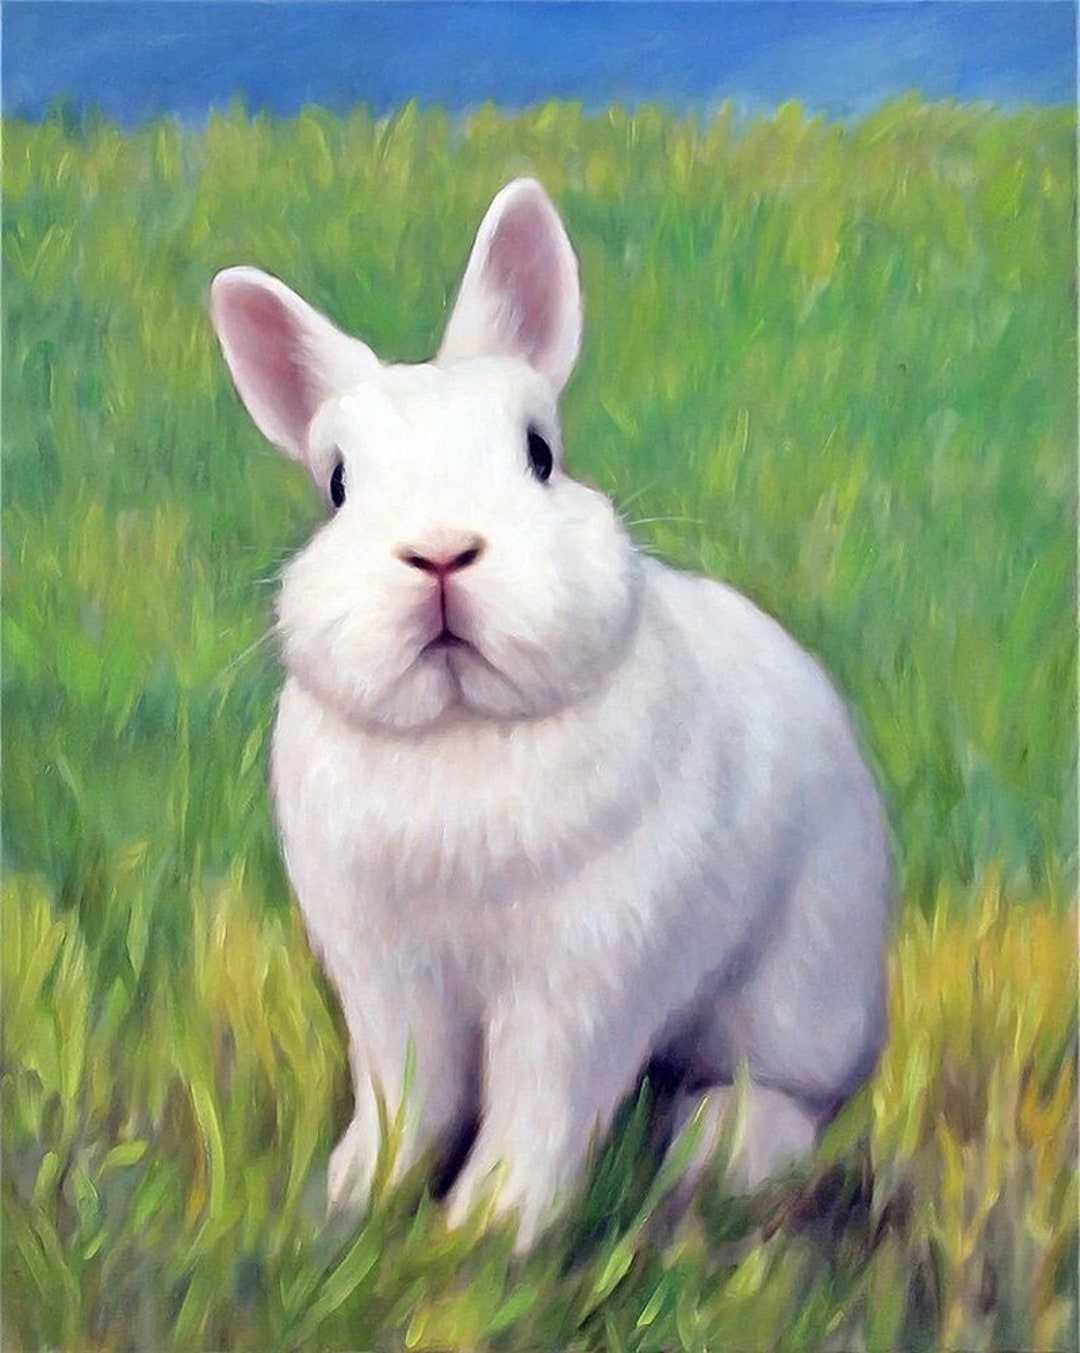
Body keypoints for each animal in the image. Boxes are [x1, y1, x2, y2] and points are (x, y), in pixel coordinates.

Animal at [209, 178, 893, 1252]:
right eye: (338, 485)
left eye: (539, 453)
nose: (441, 550)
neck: (461, 730)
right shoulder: (385, 973)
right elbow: (406, 1088)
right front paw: (360, 1193)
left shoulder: (586, 971)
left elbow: (542, 1097)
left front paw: (488, 1230)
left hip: (803, 982)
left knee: (791, 1093)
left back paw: (718, 1146)